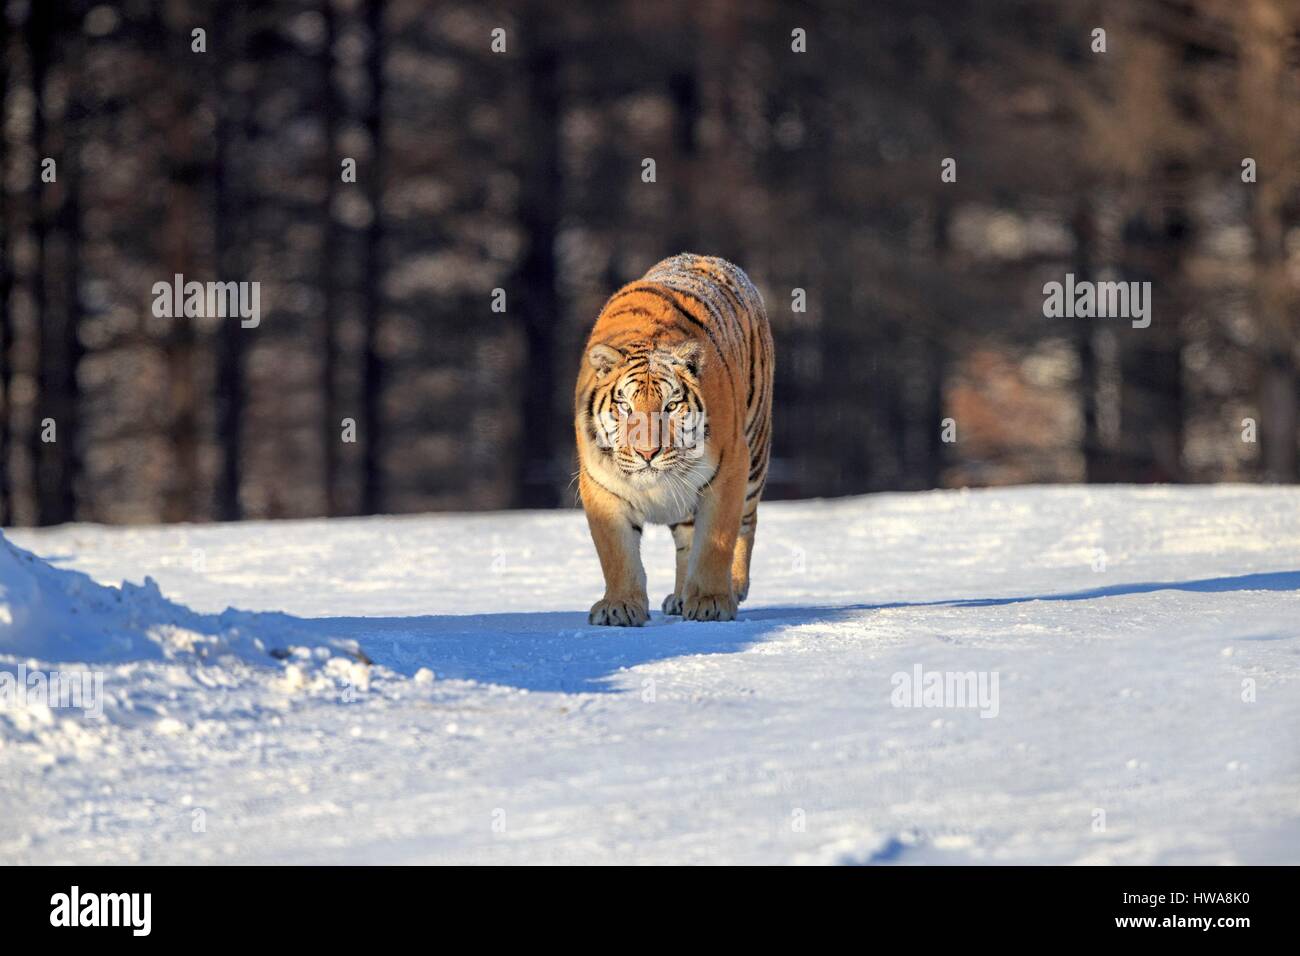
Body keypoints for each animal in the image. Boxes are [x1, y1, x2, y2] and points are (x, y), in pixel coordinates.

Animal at [574, 253, 774, 626]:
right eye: (625, 406)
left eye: (671, 406)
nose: (647, 452)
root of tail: (708, 257)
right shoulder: (599, 483)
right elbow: (616, 552)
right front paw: (619, 606)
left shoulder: (729, 469)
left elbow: (715, 541)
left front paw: (711, 601)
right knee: (686, 538)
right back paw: (681, 597)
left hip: (755, 453)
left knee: (746, 523)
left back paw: (734, 586)